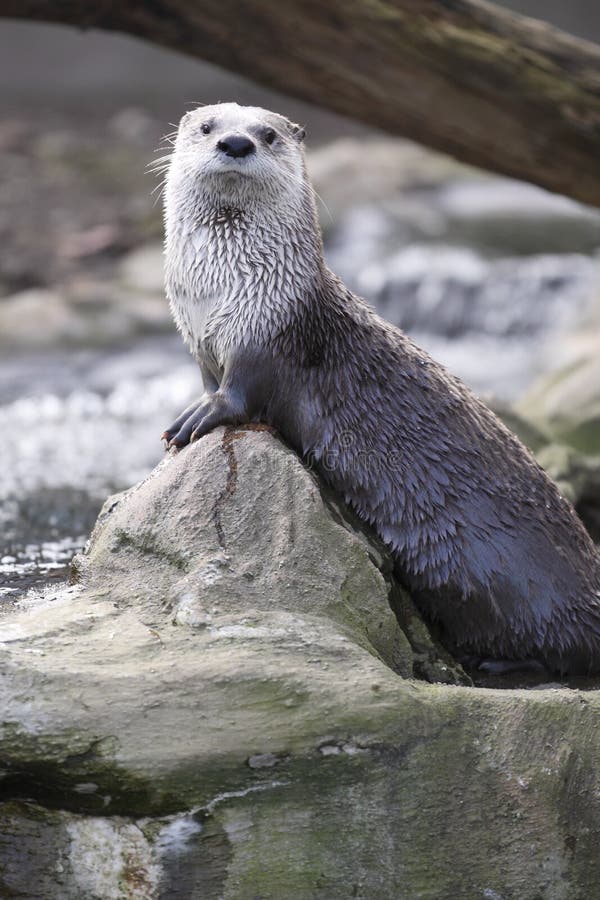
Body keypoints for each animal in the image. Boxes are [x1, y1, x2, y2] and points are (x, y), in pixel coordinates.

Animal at [161, 102, 600, 676]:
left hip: (524, 585)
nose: (236, 143)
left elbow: (238, 395)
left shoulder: (267, 333)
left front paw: (197, 416)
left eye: (269, 133)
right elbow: (211, 380)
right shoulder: (201, 342)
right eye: (207, 126)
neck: (223, 290)